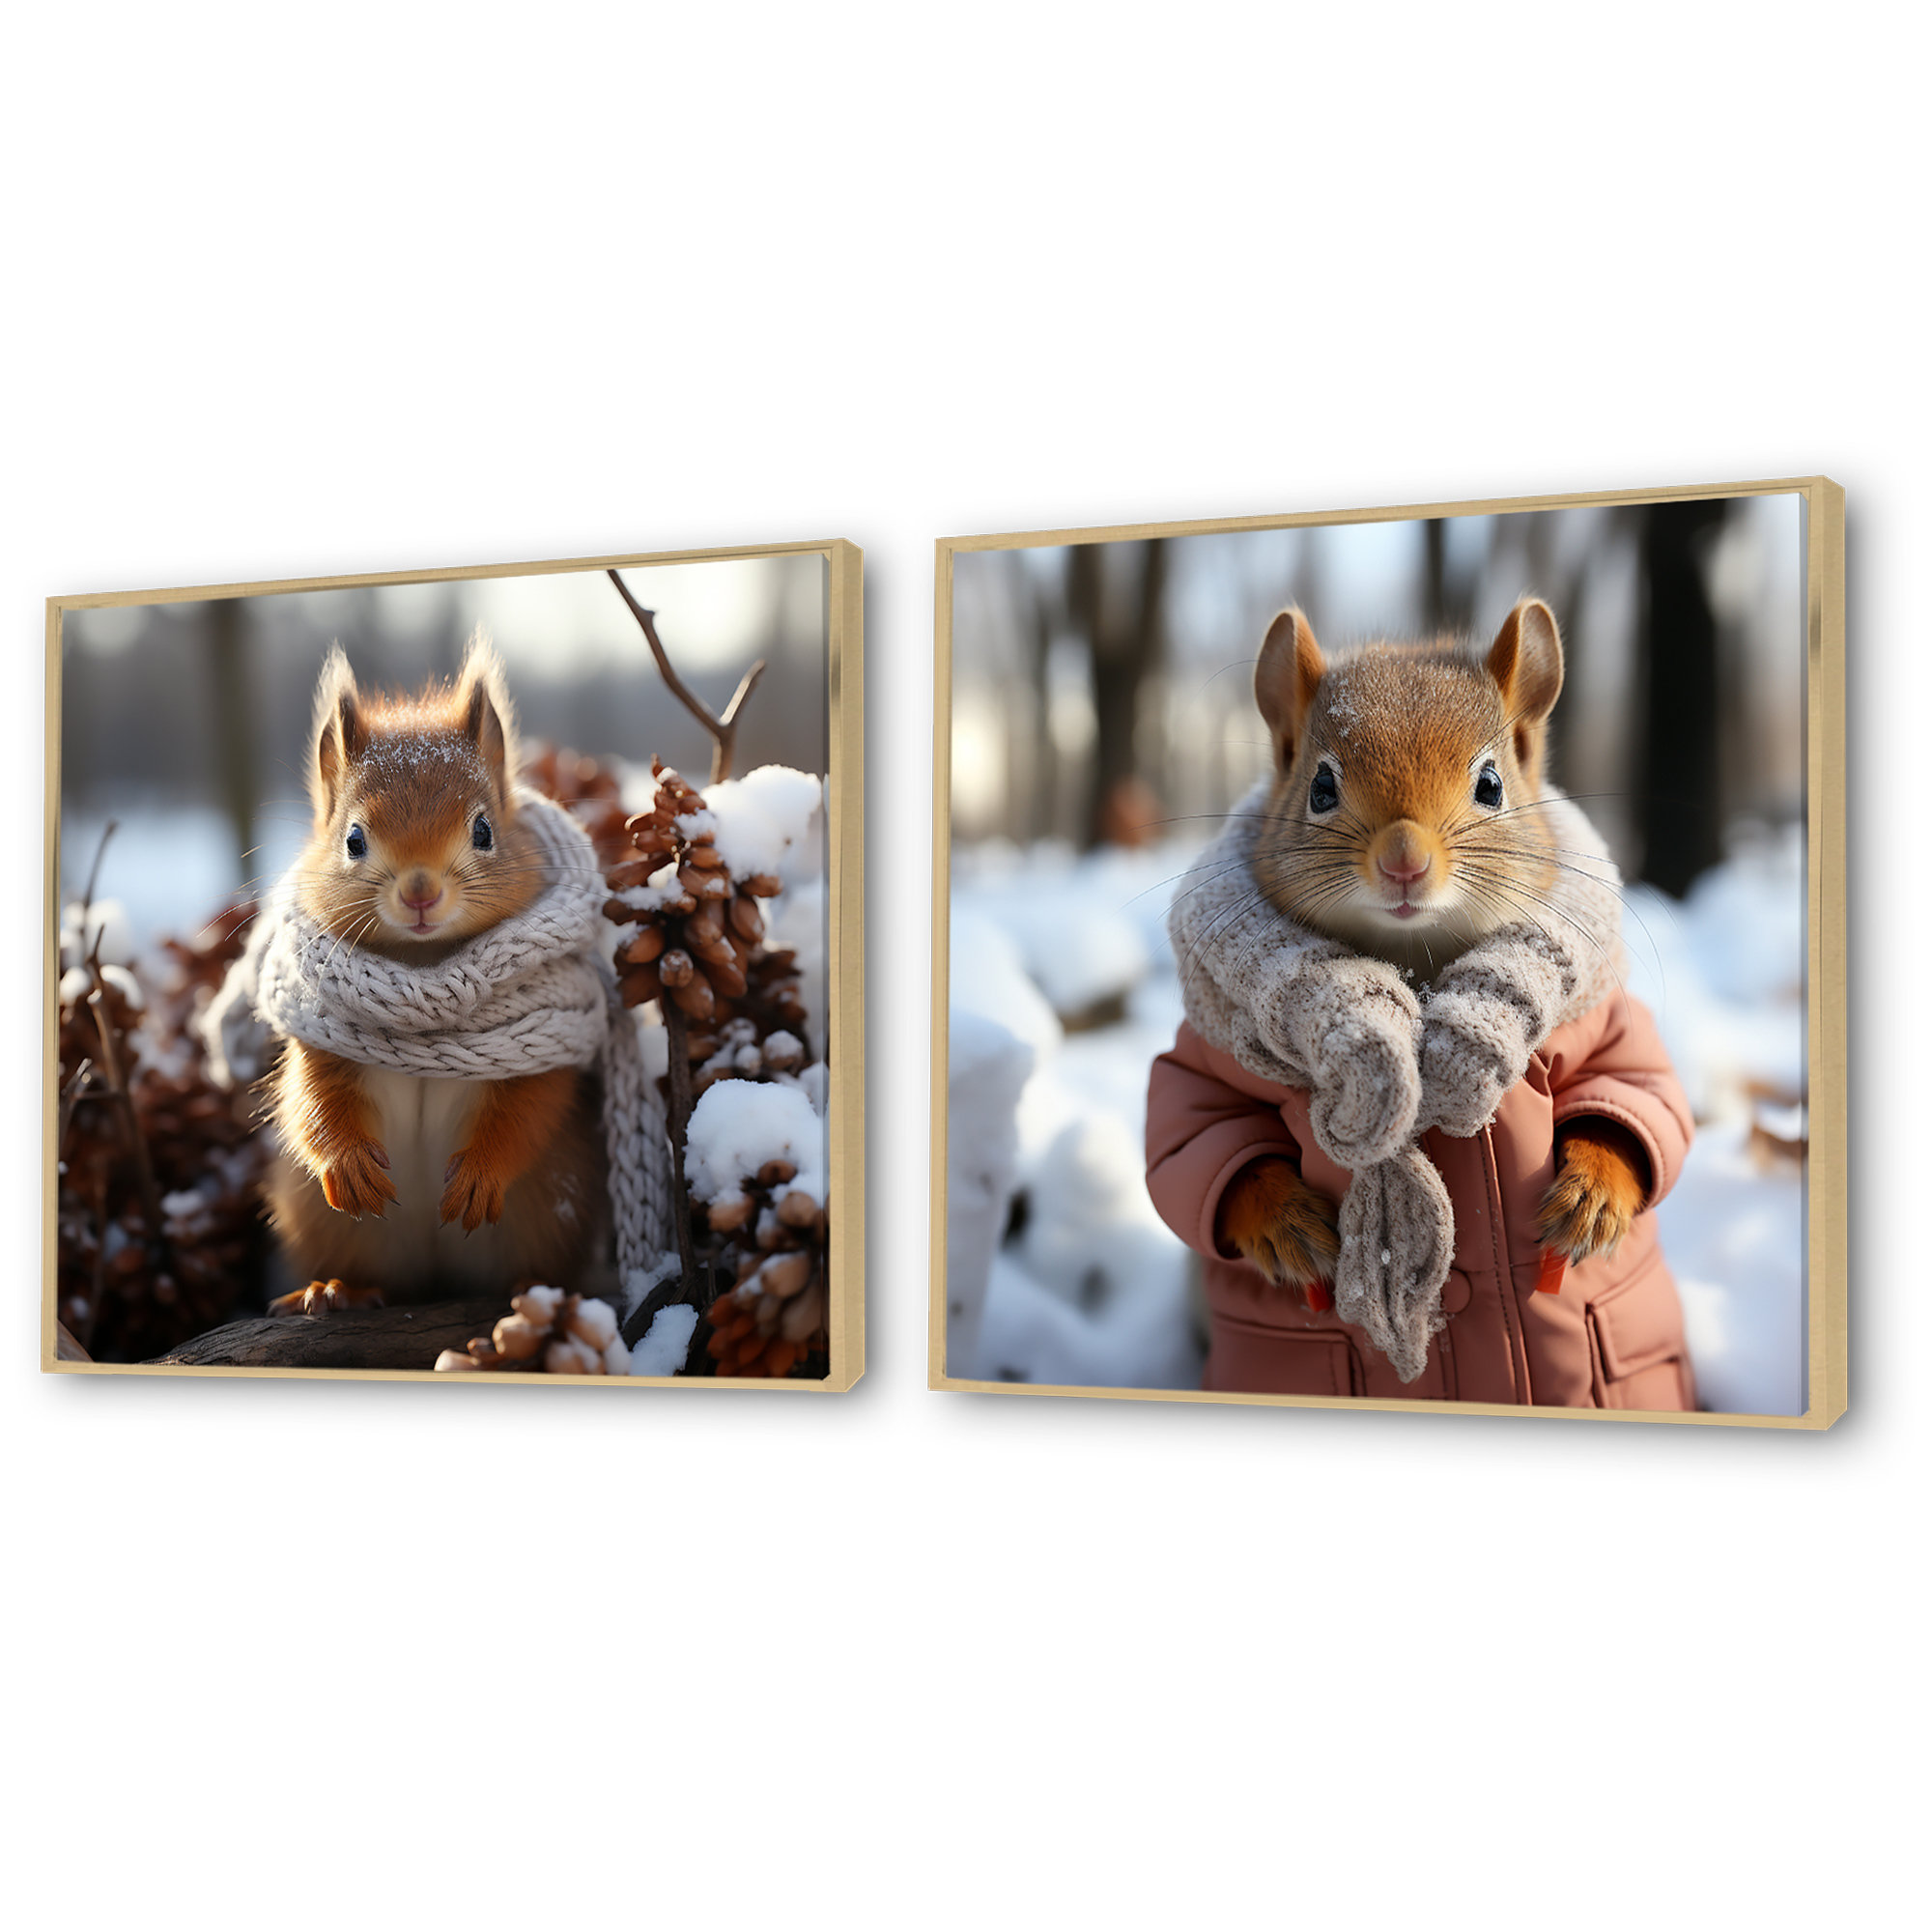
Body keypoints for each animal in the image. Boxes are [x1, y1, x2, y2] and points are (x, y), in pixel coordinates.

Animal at [261, 641, 607, 1315]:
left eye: (484, 831)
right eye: (353, 839)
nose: (420, 890)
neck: (424, 965)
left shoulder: (539, 1047)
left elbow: (529, 1110)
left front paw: (479, 1177)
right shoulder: (320, 1043)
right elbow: (312, 1101)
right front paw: (347, 1166)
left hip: (549, 1214)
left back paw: (533, 1292)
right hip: (332, 1228)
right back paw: (336, 1289)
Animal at [1214, 597, 1649, 1307]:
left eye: (1492, 784)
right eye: (1321, 788)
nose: (1403, 860)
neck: (1413, 955)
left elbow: (1624, 1092)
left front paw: (1591, 1198)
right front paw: (1284, 1225)